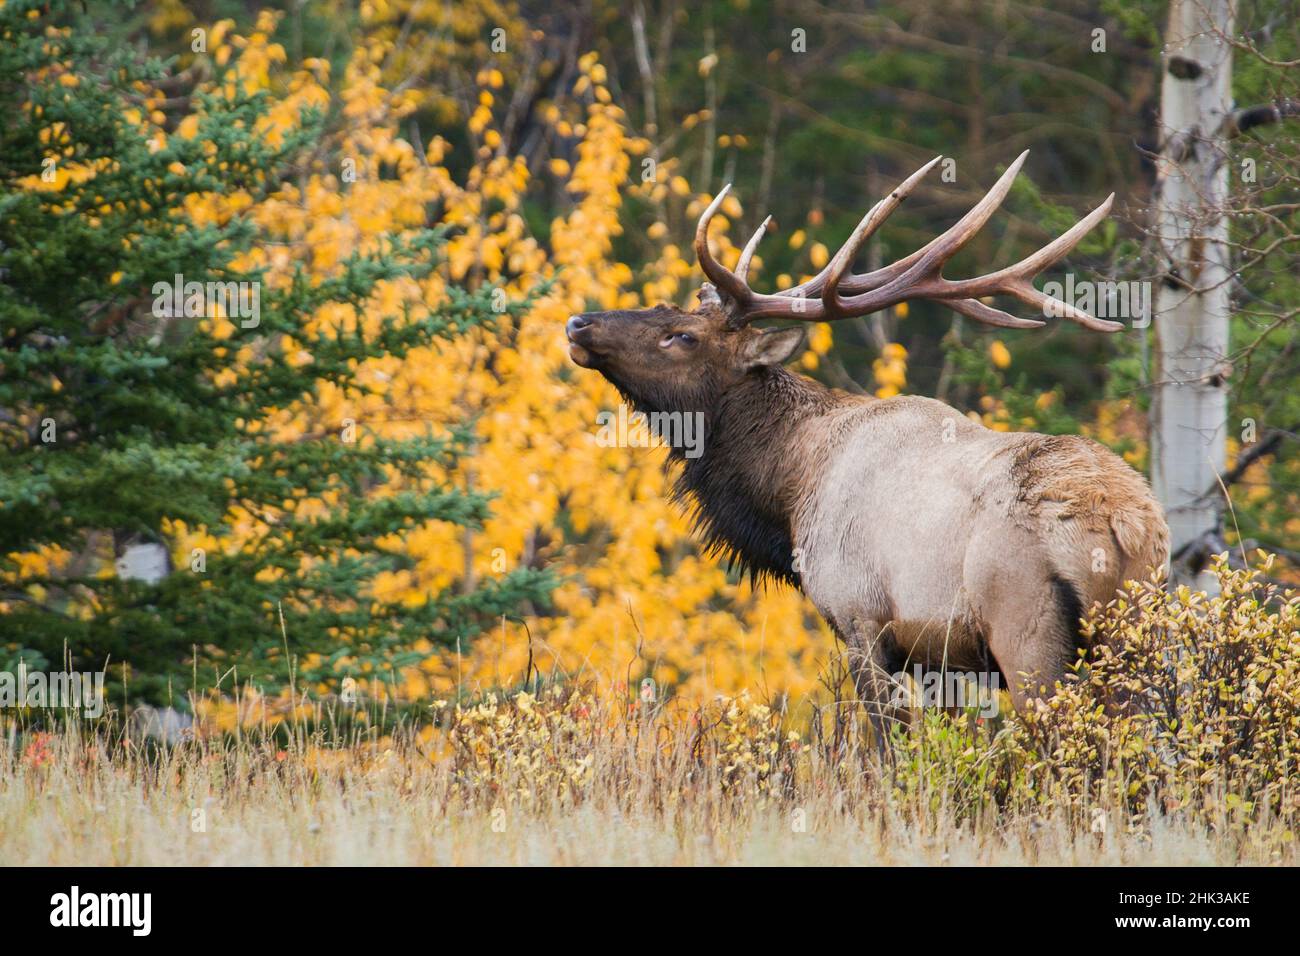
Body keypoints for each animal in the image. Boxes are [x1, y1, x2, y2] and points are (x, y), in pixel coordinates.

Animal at [565, 152, 1169, 745]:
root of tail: (1125, 523)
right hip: (1142, 636)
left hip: (1027, 629)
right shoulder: (941, 658)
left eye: (683, 336)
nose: (578, 322)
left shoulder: (861, 619)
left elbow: (887, 749)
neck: (788, 496)